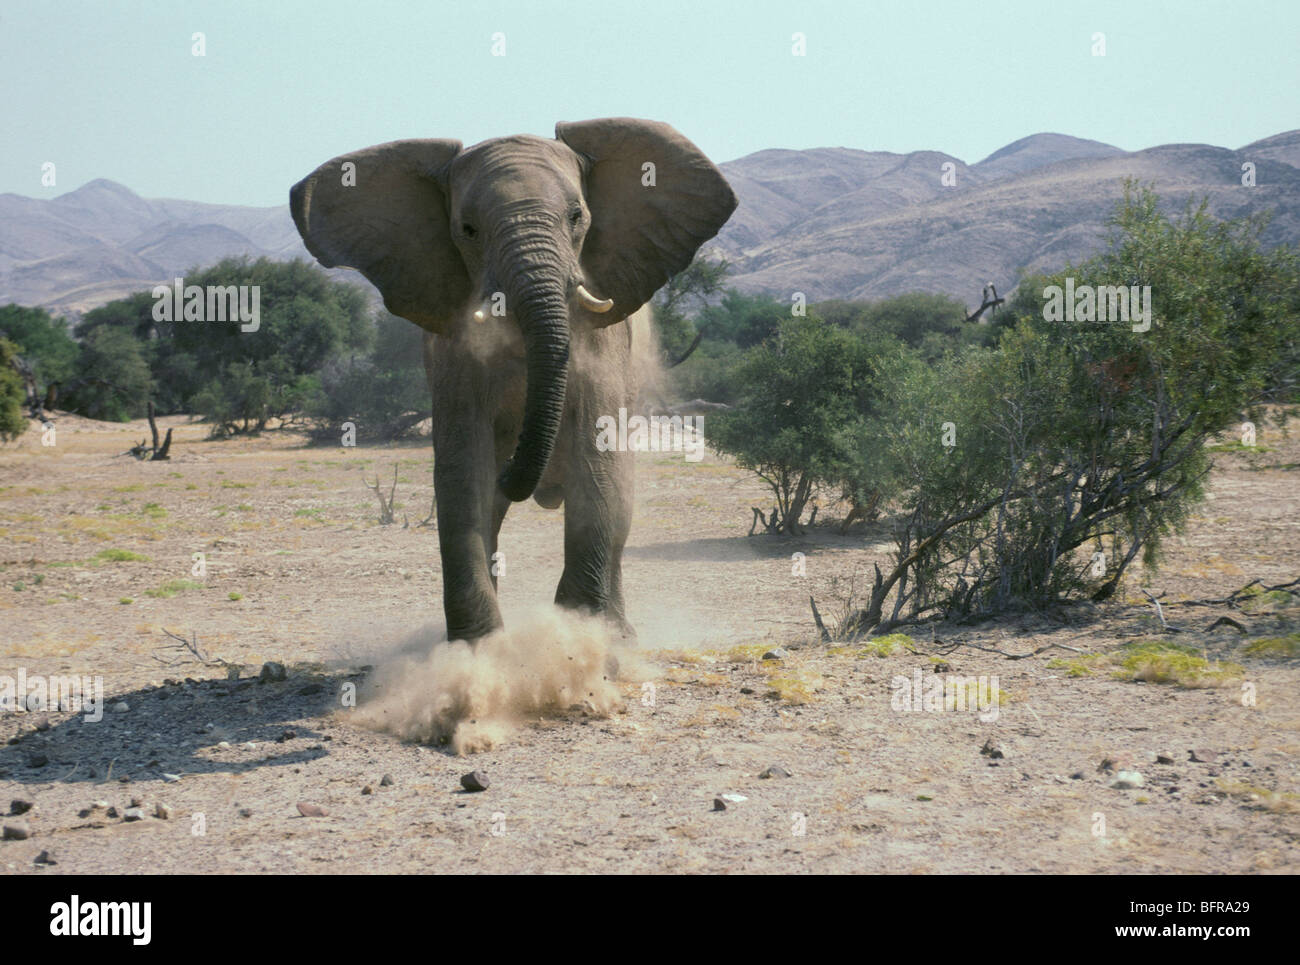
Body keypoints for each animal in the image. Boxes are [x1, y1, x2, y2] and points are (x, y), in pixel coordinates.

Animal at [290, 118, 737, 643]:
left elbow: (597, 455)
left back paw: (618, 632)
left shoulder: (601, 339)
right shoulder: (453, 350)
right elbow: (463, 467)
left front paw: (578, 639)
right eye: (467, 230)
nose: (515, 474)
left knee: (619, 499)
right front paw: (477, 649)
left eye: (576, 217)